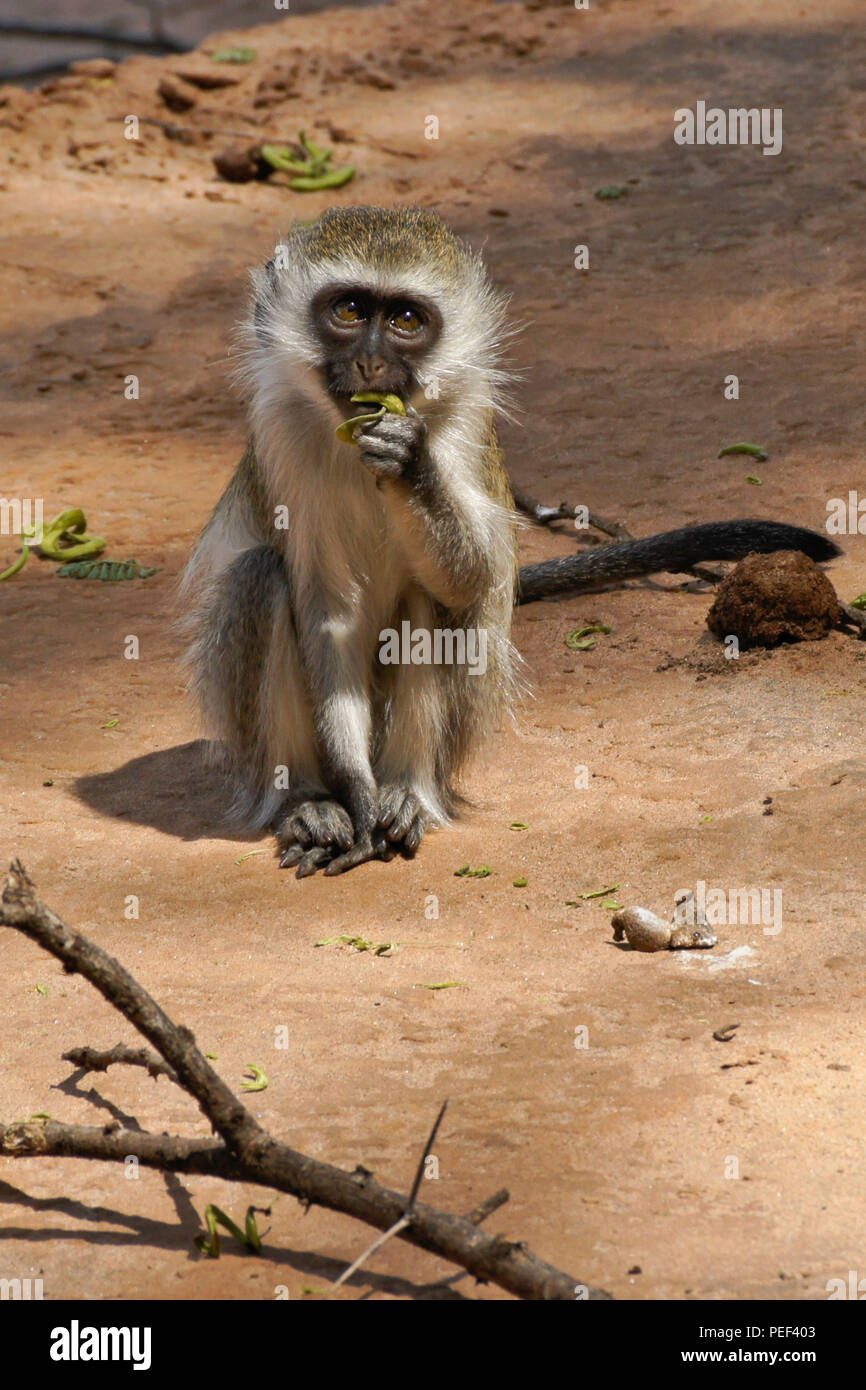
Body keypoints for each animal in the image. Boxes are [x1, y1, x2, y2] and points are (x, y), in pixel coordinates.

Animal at [181, 205, 839, 878]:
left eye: (406, 321)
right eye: (349, 311)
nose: (369, 366)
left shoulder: (465, 426)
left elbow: (469, 578)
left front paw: (410, 462)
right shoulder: (277, 431)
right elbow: (327, 611)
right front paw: (354, 793)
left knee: (428, 601)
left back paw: (407, 793)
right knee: (261, 574)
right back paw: (309, 801)